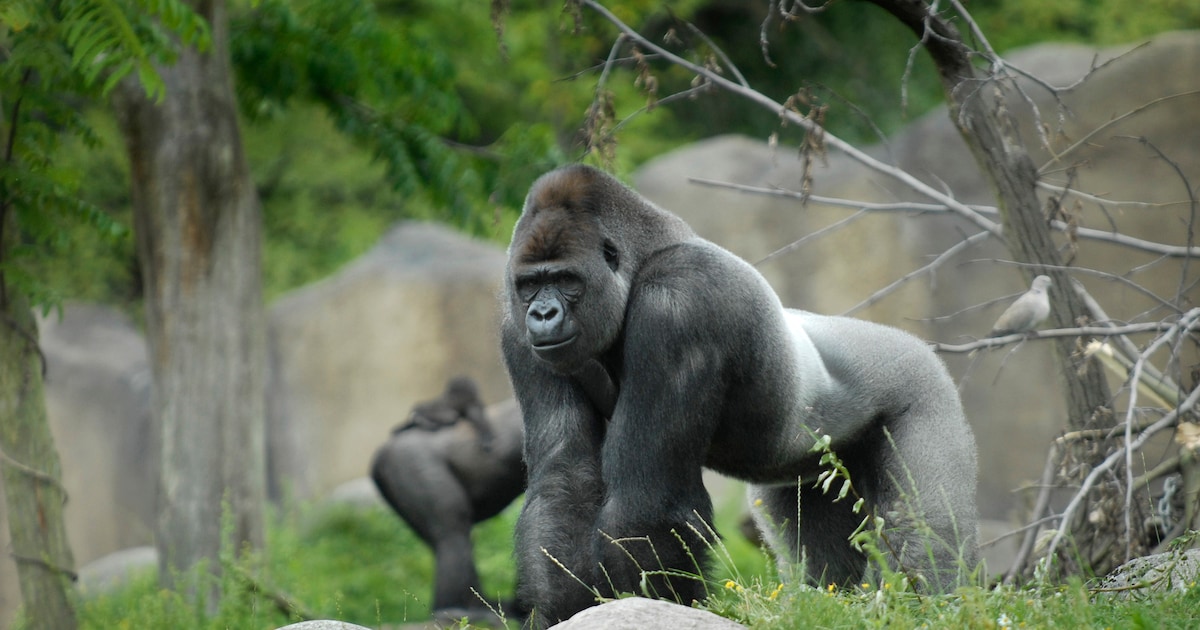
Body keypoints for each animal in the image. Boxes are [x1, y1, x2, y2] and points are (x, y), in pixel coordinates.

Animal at [500, 164, 979, 626]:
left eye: (566, 280)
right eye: (530, 285)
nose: (542, 314)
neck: (643, 260)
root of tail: (912, 343)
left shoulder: (680, 303)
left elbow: (647, 500)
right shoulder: (515, 327)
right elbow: (564, 479)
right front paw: (563, 610)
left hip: (923, 383)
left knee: (923, 535)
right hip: (812, 470)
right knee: (822, 555)